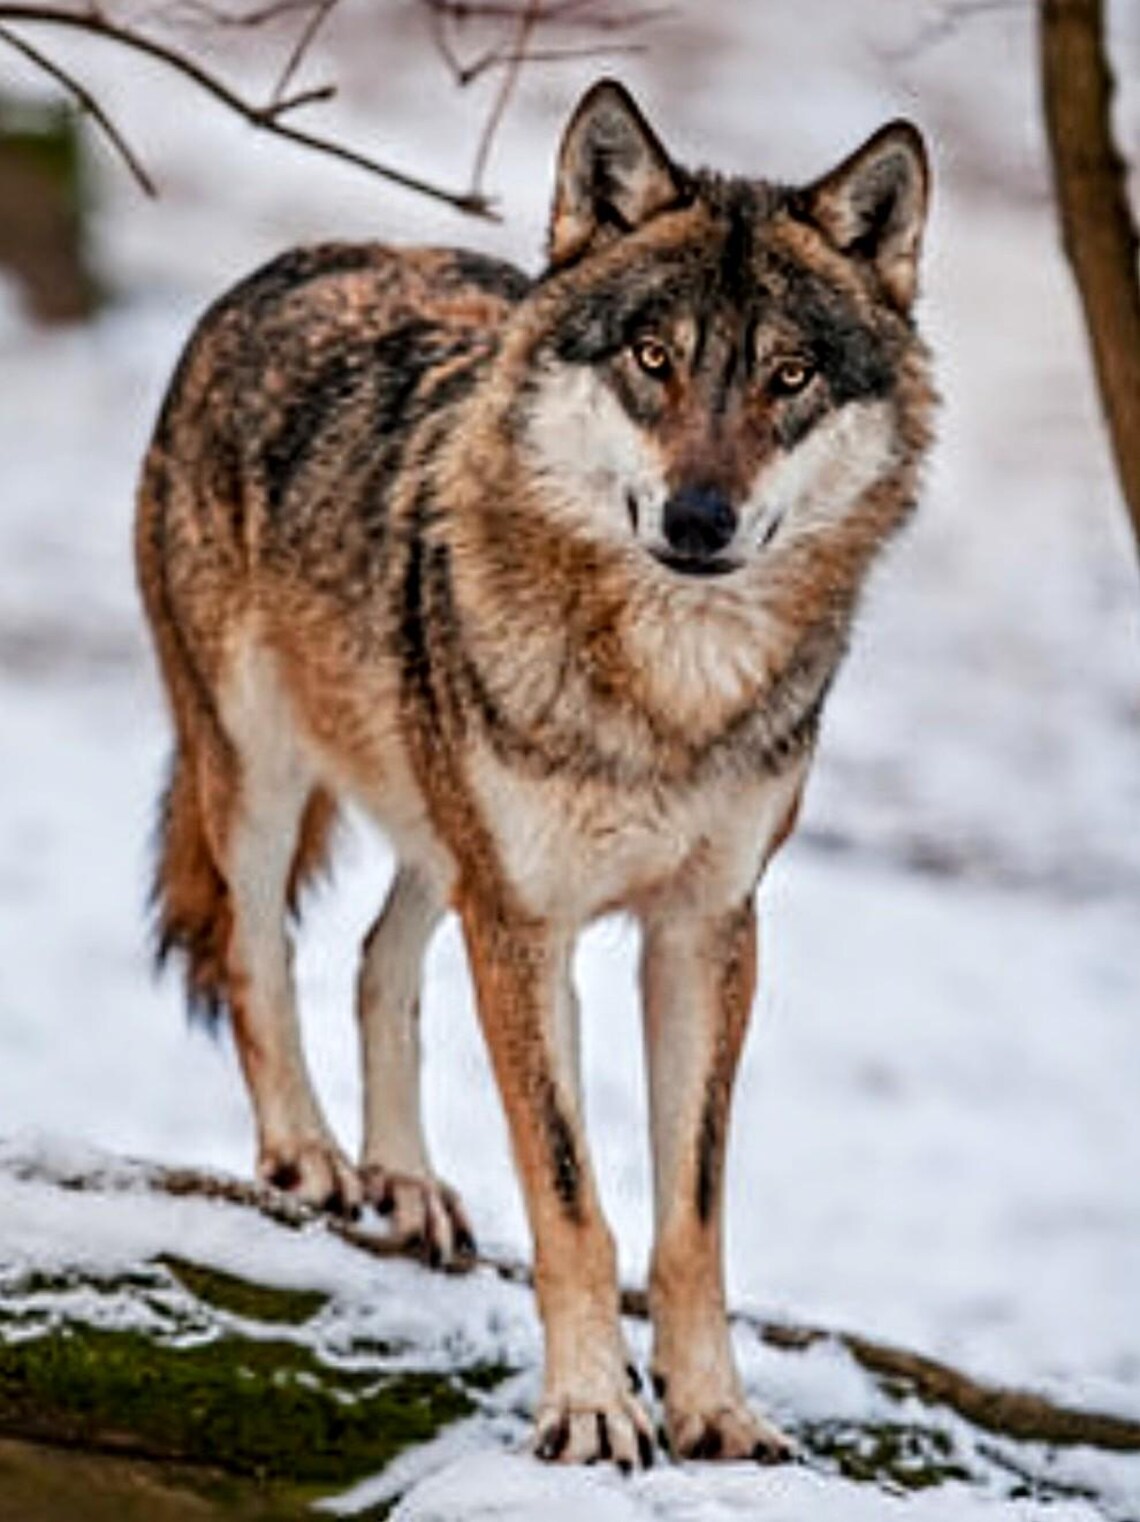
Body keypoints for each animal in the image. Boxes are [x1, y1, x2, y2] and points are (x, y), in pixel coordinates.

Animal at [136, 79, 934, 1467]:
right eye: (653, 358)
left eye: (787, 375)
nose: (699, 519)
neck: (672, 689)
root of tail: (290, 262)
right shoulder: (529, 921)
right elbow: (571, 1198)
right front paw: (592, 1408)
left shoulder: (704, 928)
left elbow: (691, 1219)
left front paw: (716, 1411)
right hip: (263, 773)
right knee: (257, 952)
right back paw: (309, 1154)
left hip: (440, 824)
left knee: (377, 959)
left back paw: (404, 1180)